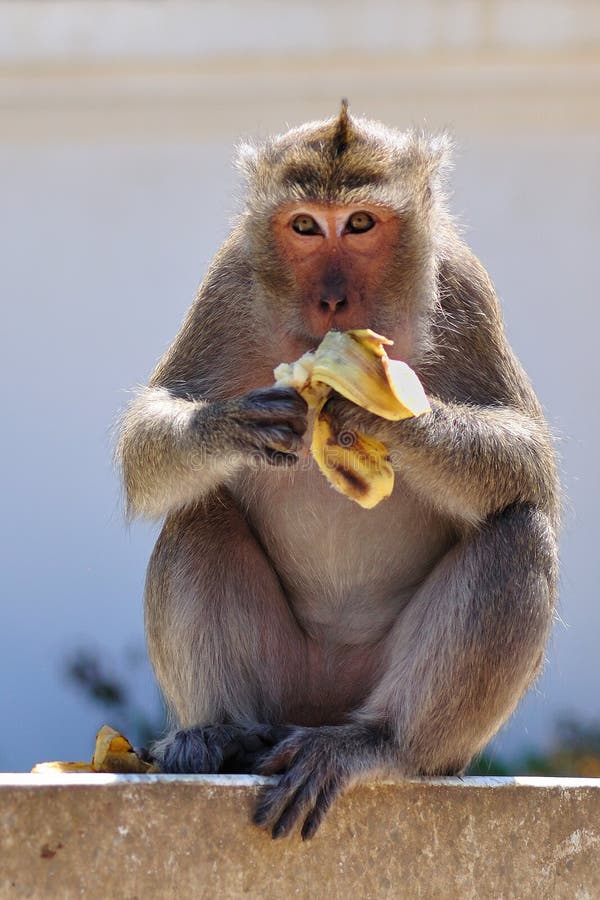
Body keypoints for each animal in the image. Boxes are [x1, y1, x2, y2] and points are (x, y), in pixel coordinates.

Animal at [117, 102, 559, 840]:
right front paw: (232, 423)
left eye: (359, 224)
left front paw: (380, 409)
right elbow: (146, 437)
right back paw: (219, 734)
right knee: (198, 511)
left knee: (518, 528)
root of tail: (320, 705)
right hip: (285, 681)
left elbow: (530, 464)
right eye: (303, 226)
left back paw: (377, 743)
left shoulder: (464, 285)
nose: (331, 302)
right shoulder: (228, 281)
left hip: (381, 700)